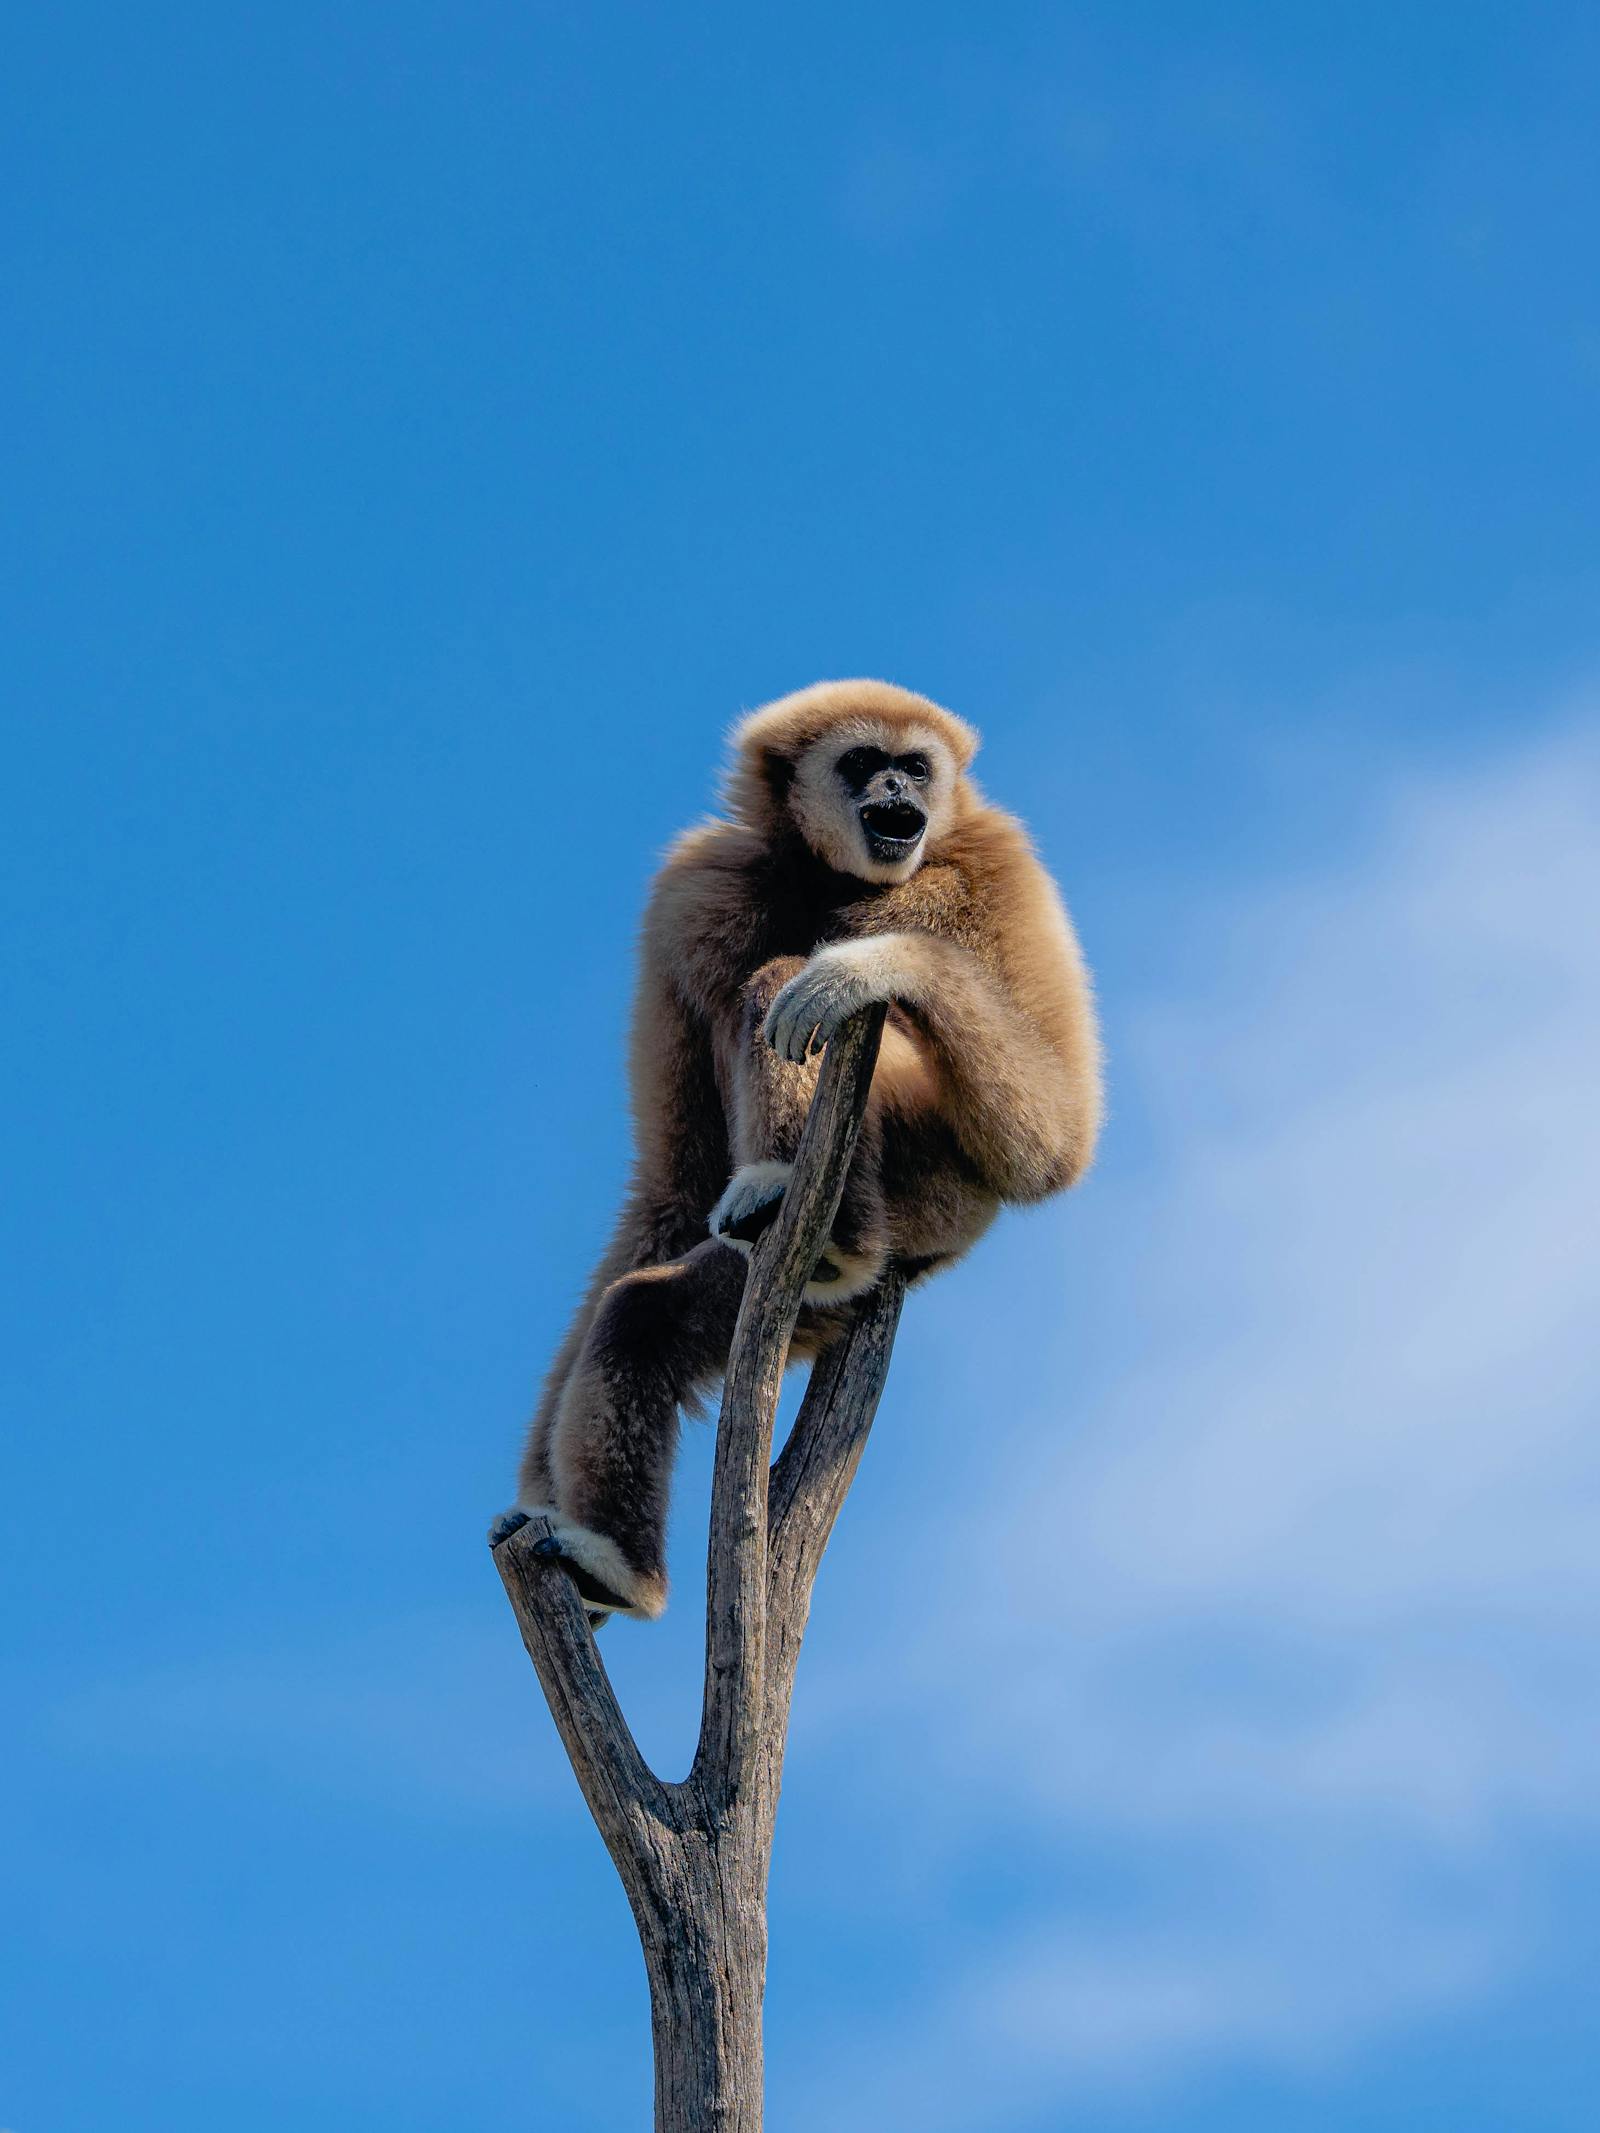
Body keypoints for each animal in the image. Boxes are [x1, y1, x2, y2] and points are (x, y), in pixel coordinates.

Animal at [489, 679, 1102, 1625]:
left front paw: (873, 963)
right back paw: (616, 1569)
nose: (897, 788)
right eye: (863, 761)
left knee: (778, 989)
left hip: (932, 1189)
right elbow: (674, 1185)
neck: (829, 875)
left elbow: (1057, 1142)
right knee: (642, 1312)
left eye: (914, 763)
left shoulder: (1001, 862)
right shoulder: (691, 893)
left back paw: (828, 1224)